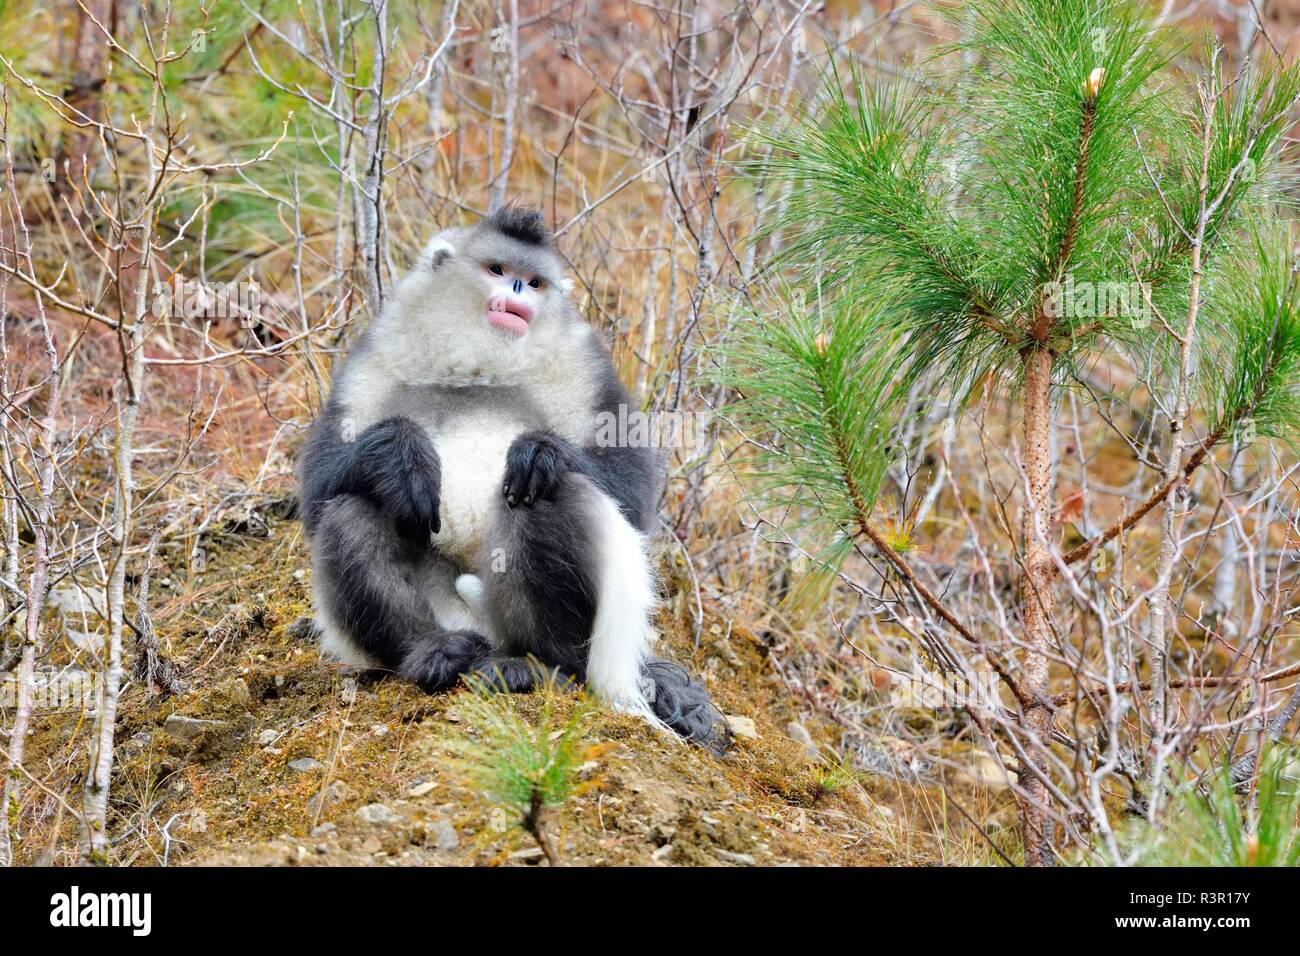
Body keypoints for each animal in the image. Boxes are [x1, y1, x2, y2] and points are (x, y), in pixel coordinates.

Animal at [298, 206, 726, 752]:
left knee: (543, 495)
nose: (520, 287)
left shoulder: (588, 367)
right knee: (356, 505)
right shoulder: (369, 364)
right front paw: (399, 454)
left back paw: (536, 667)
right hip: (448, 610)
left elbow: (632, 493)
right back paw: (433, 651)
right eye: (498, 269)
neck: (481, 370)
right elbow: (318, 487)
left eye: (536, 281)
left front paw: (541, 451)